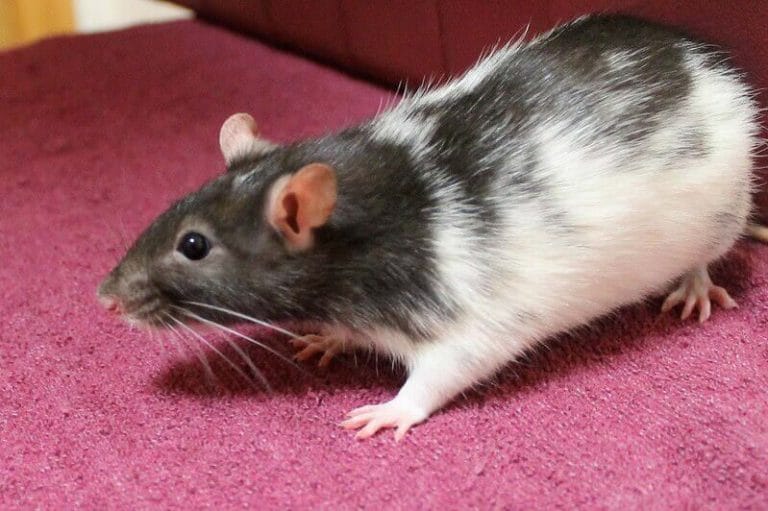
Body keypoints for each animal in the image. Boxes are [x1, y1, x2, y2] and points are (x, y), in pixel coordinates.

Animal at [98, 15, 764, 440]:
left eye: (193, 245)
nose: (105, 298)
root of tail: (708, 65)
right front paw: (332, 339)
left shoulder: (469, 319)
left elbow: (450, 367)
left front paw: (394, 408)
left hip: (722, 213)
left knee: (705, 255)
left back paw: (694, 284)